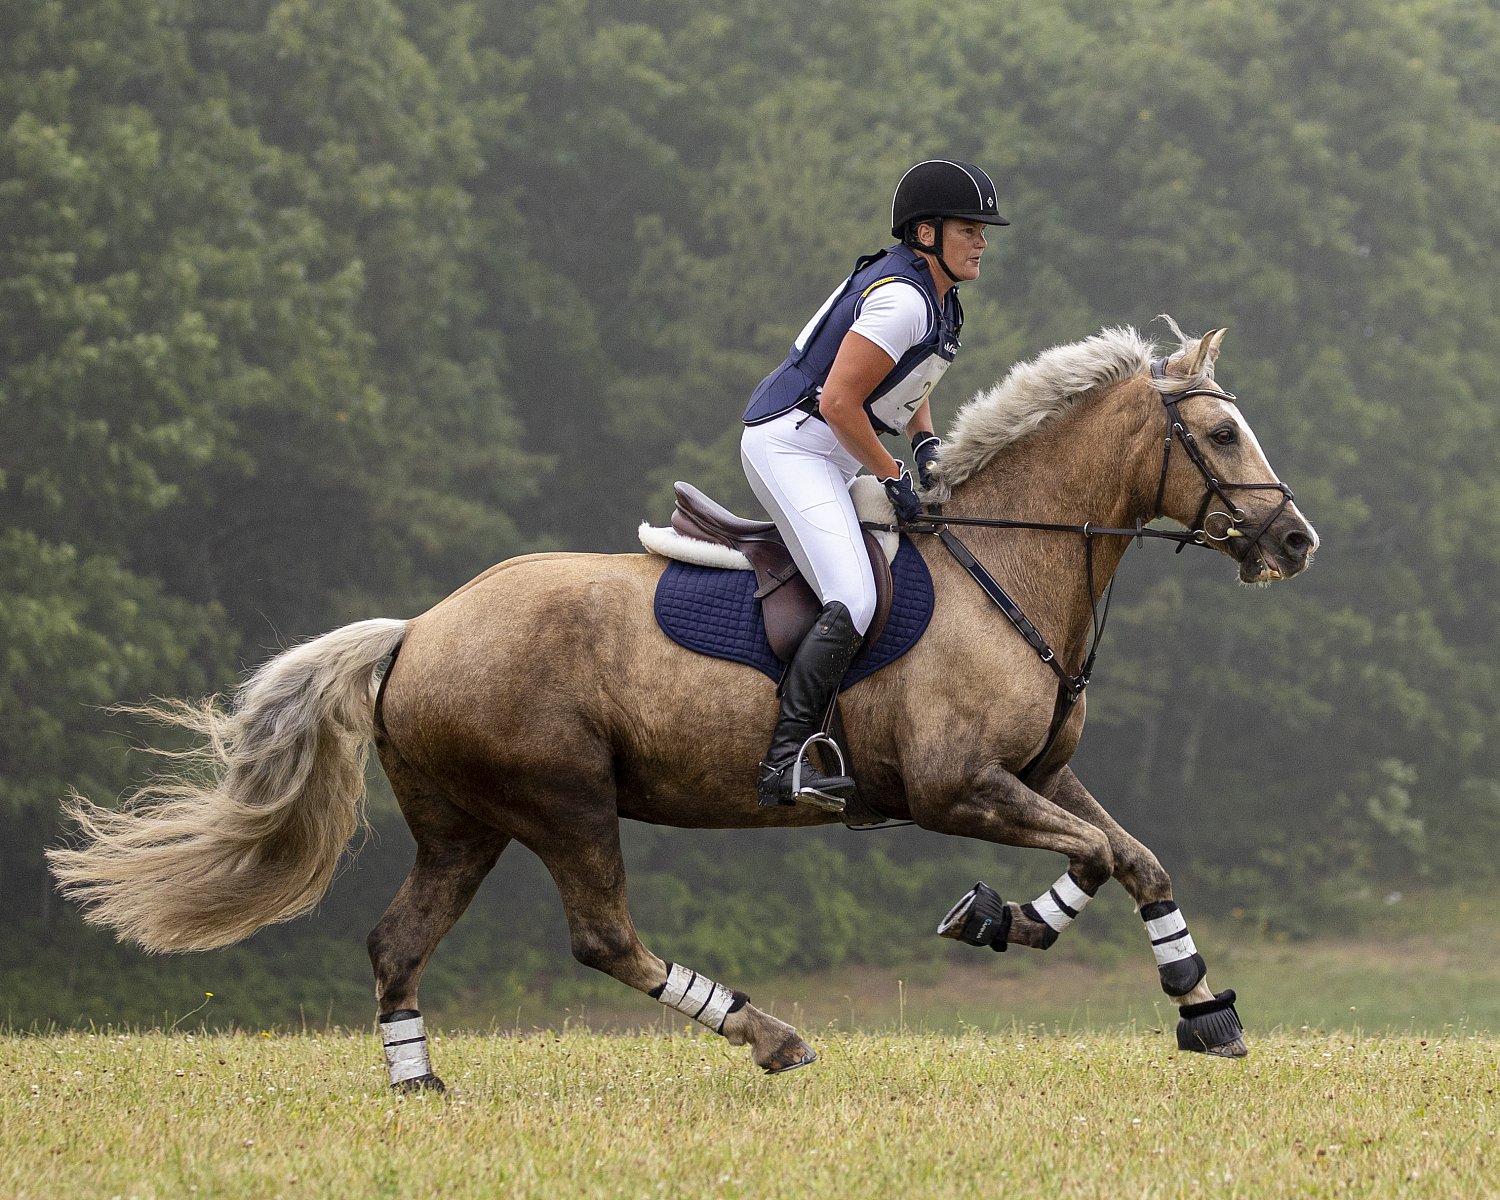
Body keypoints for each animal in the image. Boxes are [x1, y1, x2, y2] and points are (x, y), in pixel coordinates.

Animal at [49, 320, 1318, 1090]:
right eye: (1219, 432)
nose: (1297, 540)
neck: (1005, 562)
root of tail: (416, 631)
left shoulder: (1040, 775)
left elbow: (1136, 859)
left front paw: (1201, 1006)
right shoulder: (959, 788)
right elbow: (1097, 859)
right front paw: (996, 919)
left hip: (466, 826)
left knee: (397, 941)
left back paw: (419, 1087)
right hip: (564, 802)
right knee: (603, 938)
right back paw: (770, 1035)